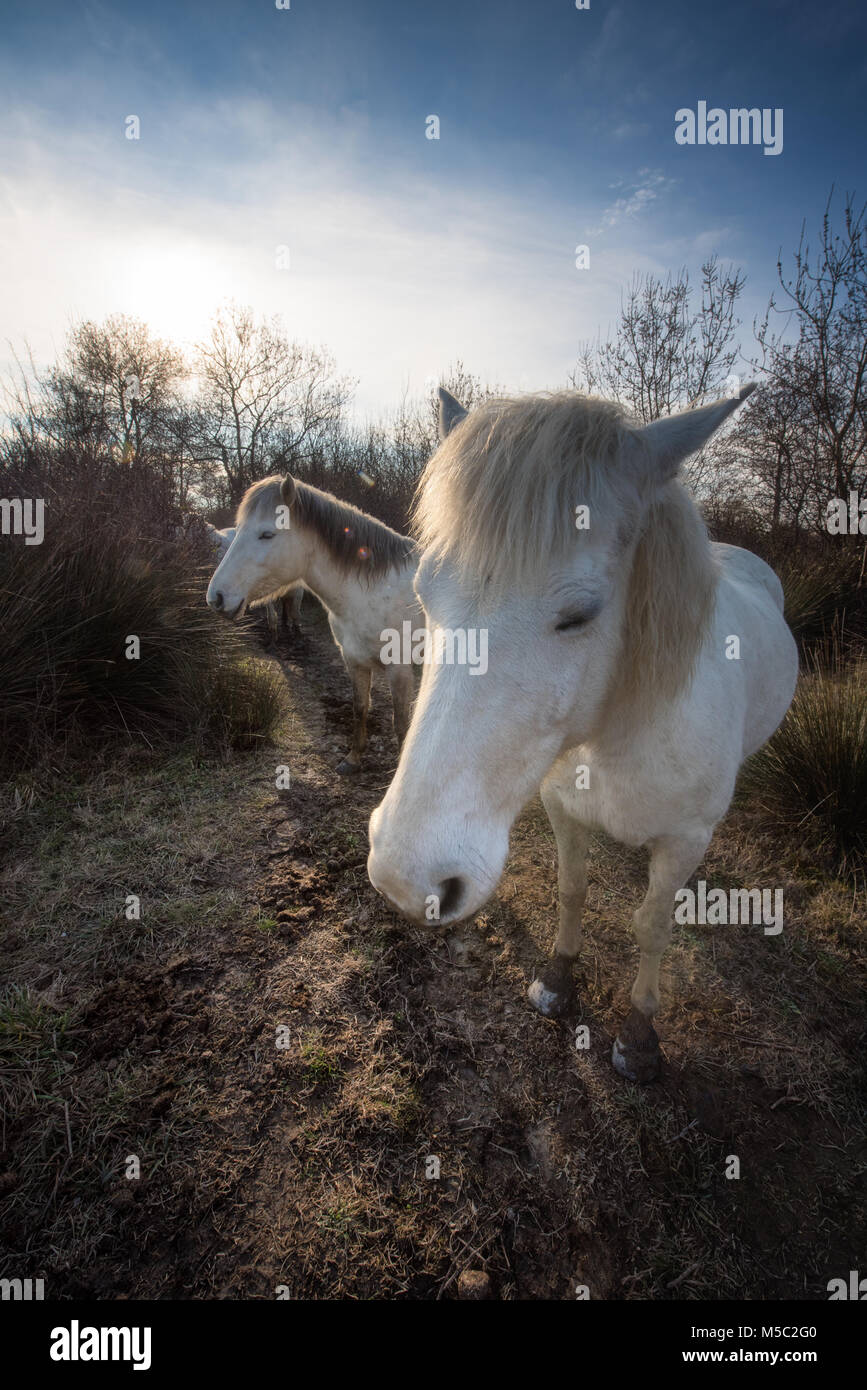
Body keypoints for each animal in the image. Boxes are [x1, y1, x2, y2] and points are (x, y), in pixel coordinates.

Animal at [207, 475, 420, 773]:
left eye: (267, 534)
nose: (216, 597)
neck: (373, 592)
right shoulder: (353, 660)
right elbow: (359, 708)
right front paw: (353, 758)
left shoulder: (398, 668)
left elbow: (401, 724)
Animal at [367, 385, 798, 1081]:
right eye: (424, 594)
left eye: (579, 614)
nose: (406, 879)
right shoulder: (561, 807)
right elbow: (573, 891)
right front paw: (558, 980)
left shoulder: (683, 841)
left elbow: (652, 926)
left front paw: (639, 1035)